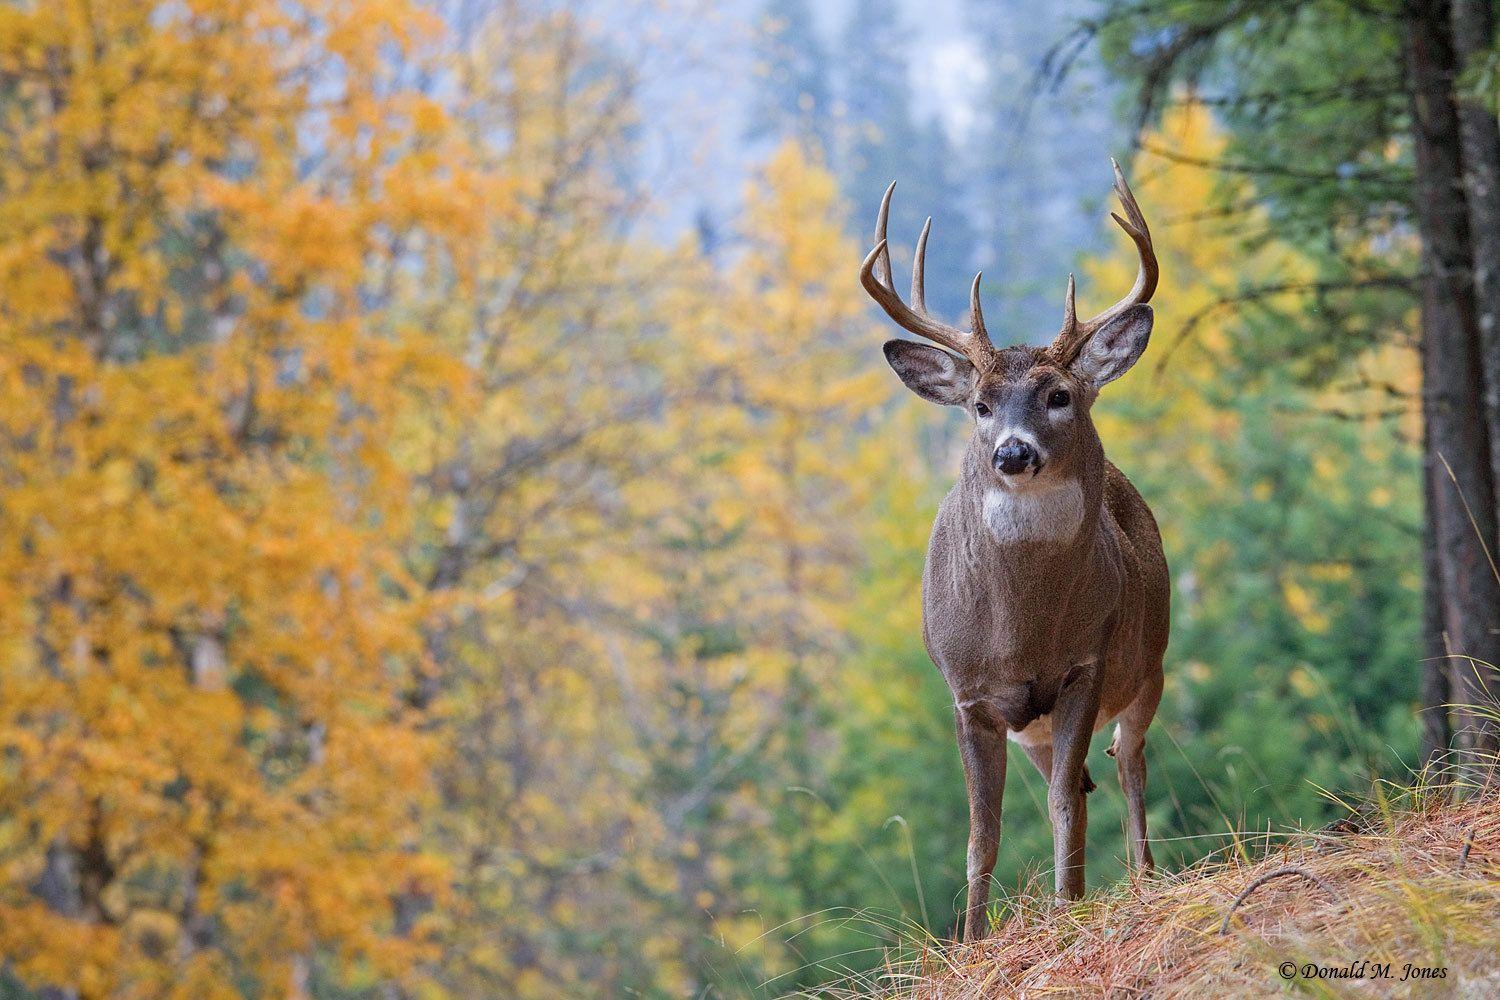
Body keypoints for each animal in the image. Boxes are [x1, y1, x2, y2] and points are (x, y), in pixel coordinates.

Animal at [858, 161, 1169, 942]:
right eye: (979, 405)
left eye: (1059, 395)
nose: (1012, 452)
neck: (1021, 633)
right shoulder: (967, 694)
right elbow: (983, 834)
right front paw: (970, 940)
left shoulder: (1087, 664)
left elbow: (1062, 804)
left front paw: (1068, 909)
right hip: (1035, 726)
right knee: (1088, 780)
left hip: (1150, 662)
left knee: (1127, 763)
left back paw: (1143, 877)